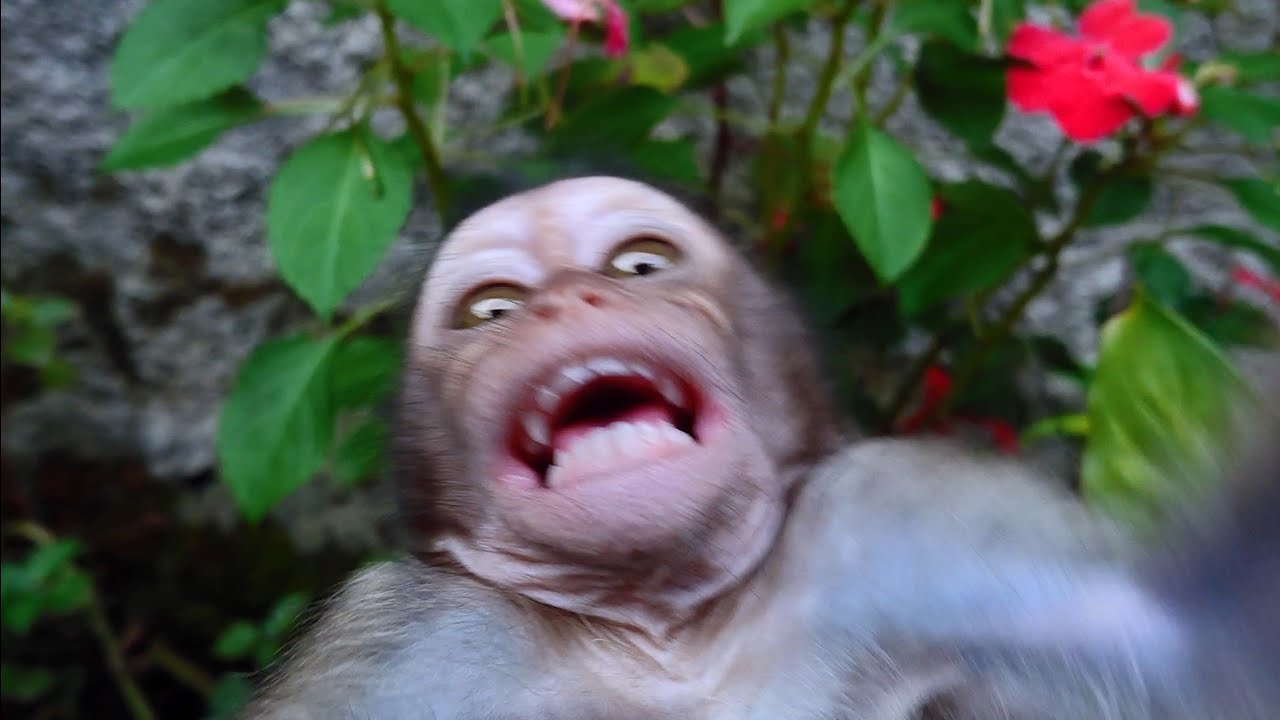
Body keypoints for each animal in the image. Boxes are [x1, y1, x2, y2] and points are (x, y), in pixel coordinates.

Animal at [243, 176, 1278, 719]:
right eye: (491, 310)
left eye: (640, 264)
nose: (564, 301)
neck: (672, 636)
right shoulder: (407, 638)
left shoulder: (907, 520)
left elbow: (1180, 645)